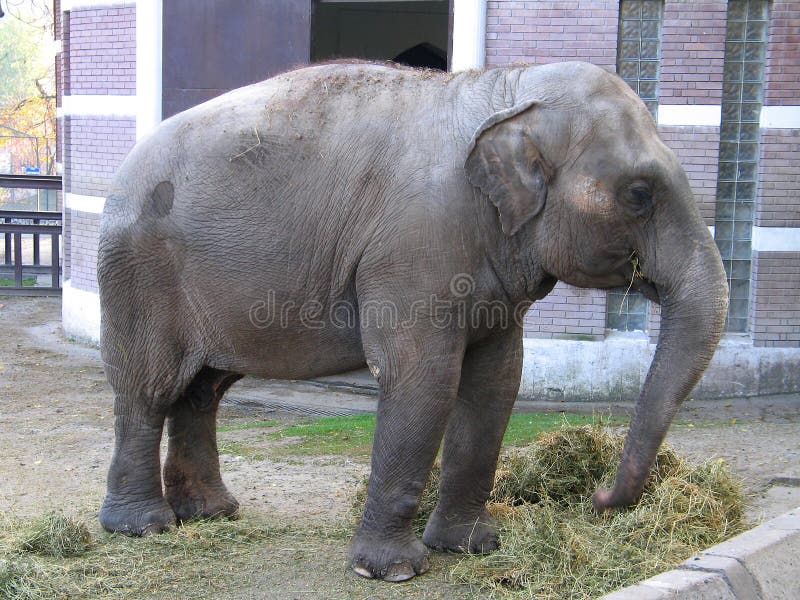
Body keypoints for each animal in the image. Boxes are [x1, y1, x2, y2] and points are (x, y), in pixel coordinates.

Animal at [97, 60, 729, 582]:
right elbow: (424, 380)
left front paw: (472, 548)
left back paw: (212, 514)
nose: (596, 497)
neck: (506, 90)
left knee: (202, 390)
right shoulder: (413, 251)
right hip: (139, 273)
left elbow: (496, 382)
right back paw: (143, 527)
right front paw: (392, 571)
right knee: (148, 388)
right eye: (640, 193)